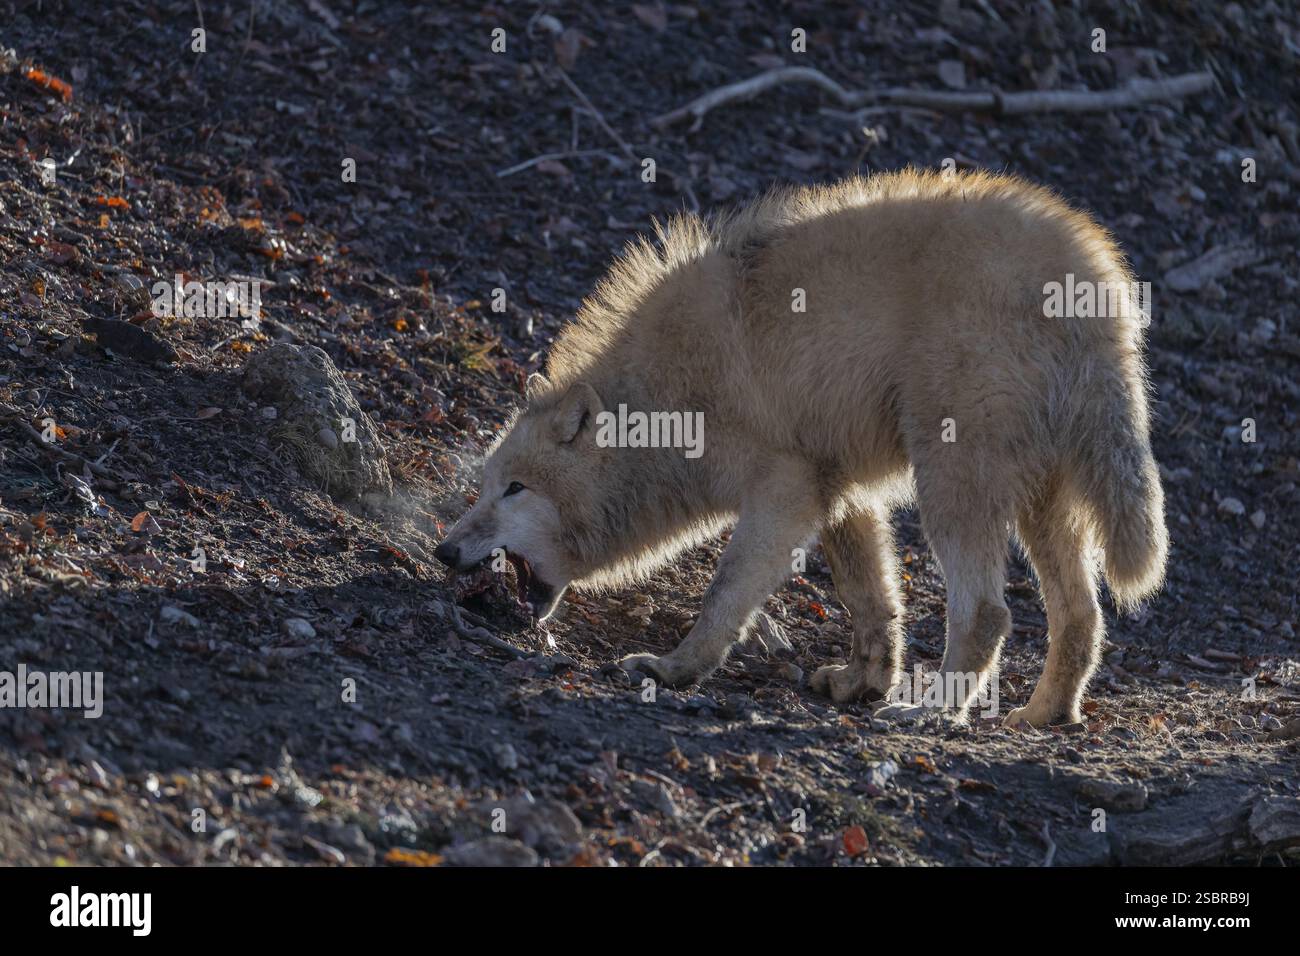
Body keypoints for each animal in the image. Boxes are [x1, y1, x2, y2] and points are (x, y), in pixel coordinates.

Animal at [435, 170, 1168, 728]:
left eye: (515, 489)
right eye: (486, 485)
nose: (444, 550)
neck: (663, 398)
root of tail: (1092, 276)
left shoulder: (784, 492)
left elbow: (724, 596)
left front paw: (673, 671)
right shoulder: (838, 490)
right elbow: (870, 600)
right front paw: (863, 681)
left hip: (952, 481)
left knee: (988, 612)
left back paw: (932, 714)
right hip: (1042, 506)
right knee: (1081, 615)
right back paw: (1044, 715)